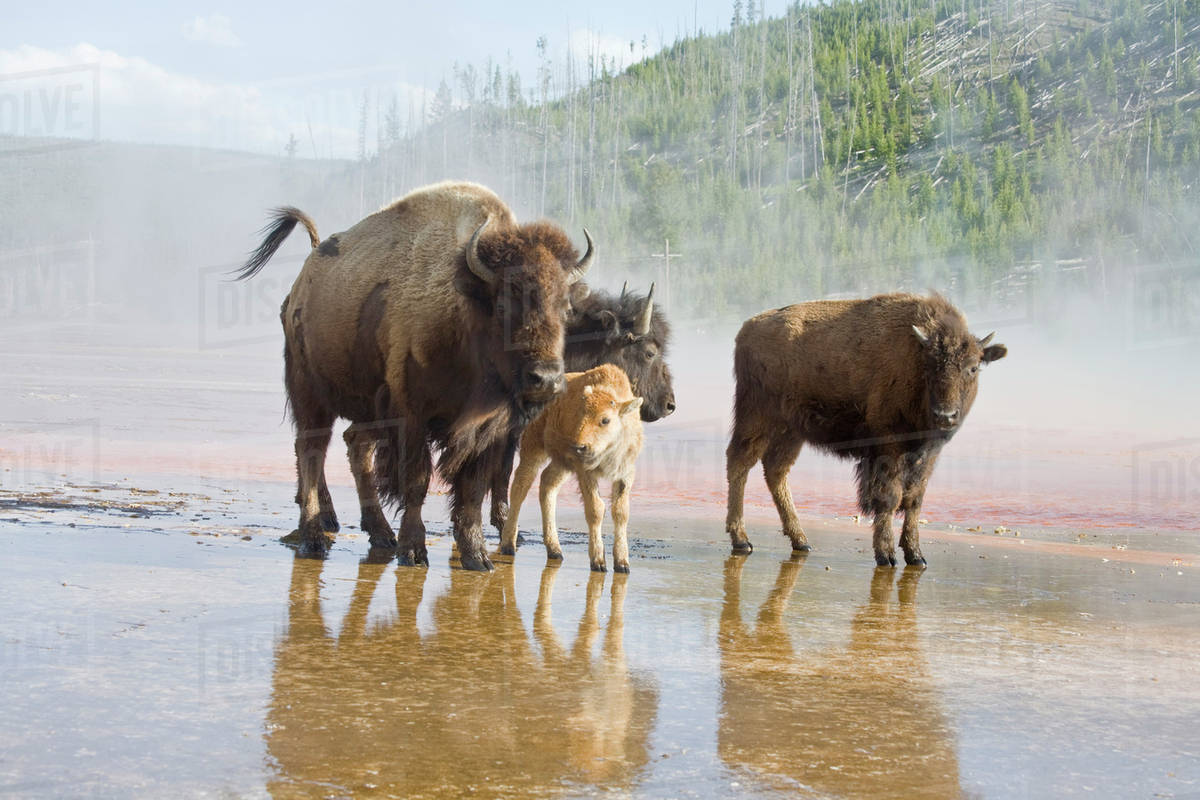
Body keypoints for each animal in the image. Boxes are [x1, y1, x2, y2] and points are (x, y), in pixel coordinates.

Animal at [235, 181, 593, 569]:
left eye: (566, 307)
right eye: (503, 303)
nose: (546, 379)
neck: (463, 311)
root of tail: (303, 282)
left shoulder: (490, 429)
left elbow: (472, 487)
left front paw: (477, 556)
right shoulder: (411, 417)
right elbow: (417, 482)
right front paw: (413, 550)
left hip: (365, 409)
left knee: (353, 447)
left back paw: (379, 532)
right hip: (310, 392)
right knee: (312, 450)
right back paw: (314, 537)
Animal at [500, 364, 644, 573]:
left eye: (605, 420)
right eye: (582, 414)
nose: (580, 446)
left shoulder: (625, 473)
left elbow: (621, 512)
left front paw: (622, 563)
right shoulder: (585, 471)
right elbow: (595, 509)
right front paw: (598, 561)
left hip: (562, 463)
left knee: (547, 484)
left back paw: (555, 550)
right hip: (534, 450)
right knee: (520, 486)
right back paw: (508, 544)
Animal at [724, 292, 1007, 566]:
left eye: (973, 367)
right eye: (929, 366)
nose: (945, 415)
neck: (913, 360)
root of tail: (745, 330)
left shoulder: (928, 454)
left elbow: (914, 500)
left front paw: (916, 556)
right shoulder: (889, 447)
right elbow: (890, 498)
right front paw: (886, 555)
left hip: (791, 431)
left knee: (775, 470)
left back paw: (801, 541)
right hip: (757, 417)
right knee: (740, 463)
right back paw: (742, 540)